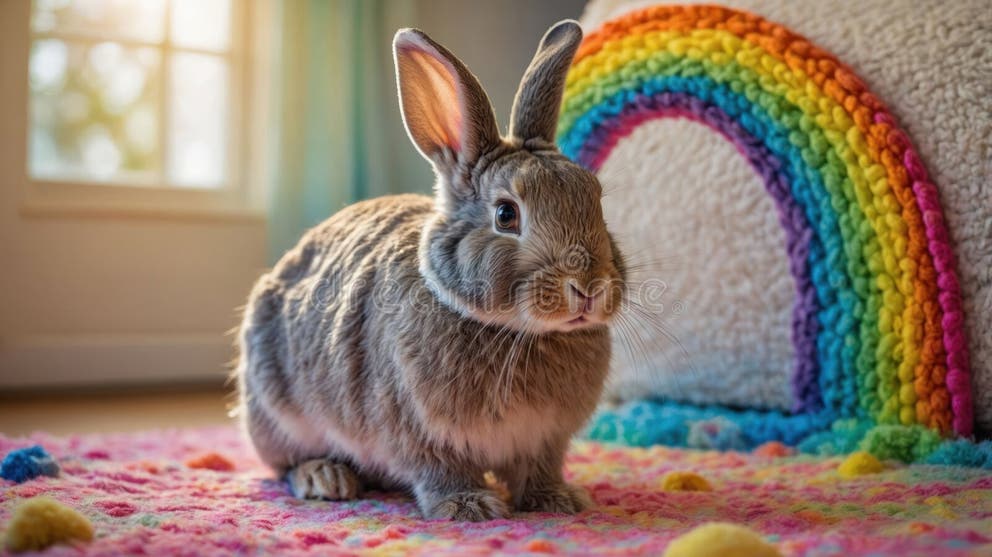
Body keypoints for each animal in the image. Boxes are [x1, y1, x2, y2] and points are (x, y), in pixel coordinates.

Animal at [234, 19, 626, 522]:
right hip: (275, 411)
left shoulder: (544, 440)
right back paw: (325, 478)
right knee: (283, 464)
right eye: (506, 215)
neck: (513, 330)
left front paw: (559, 500)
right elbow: (440, 470)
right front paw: (469, 507)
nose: (590, 288)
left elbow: (540, 470)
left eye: (595, 198)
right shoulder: (418, 431)